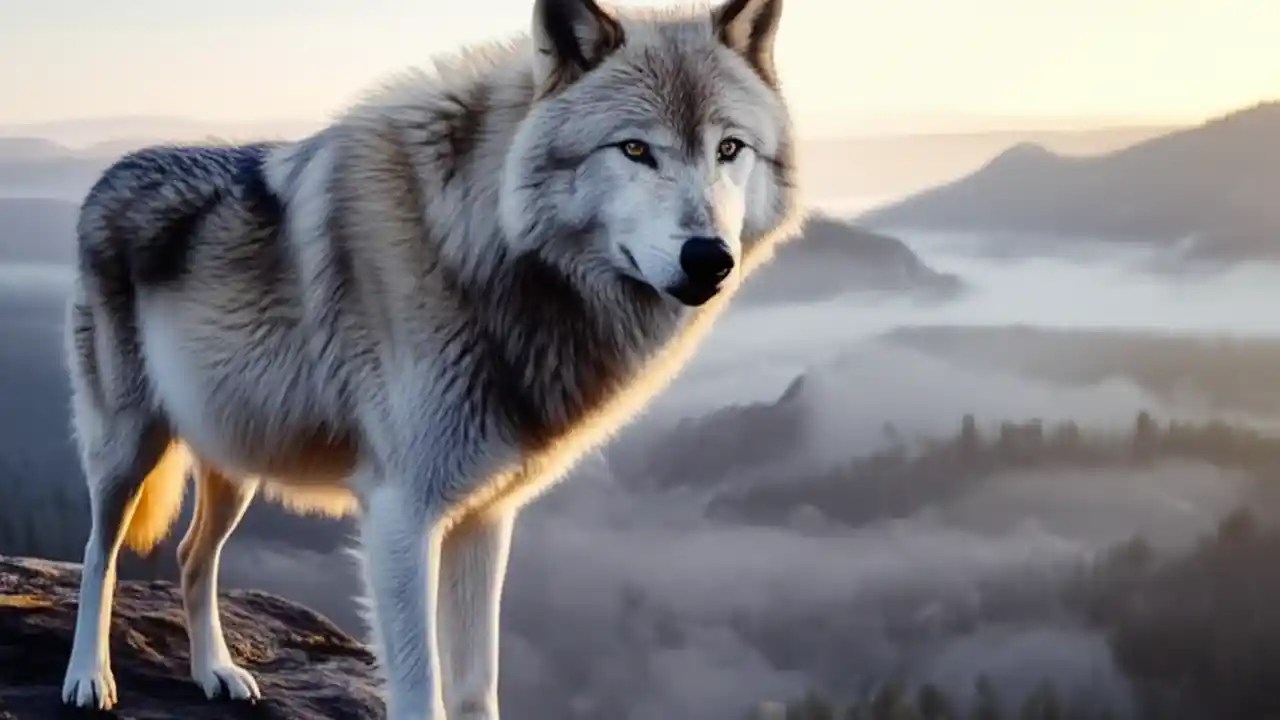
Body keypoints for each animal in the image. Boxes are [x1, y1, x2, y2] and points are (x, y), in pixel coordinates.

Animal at [59, 0, 801, 716]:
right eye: (636, 149)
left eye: (729, 149)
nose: (709, 258)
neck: (476, 246)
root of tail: (111, 172)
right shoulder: (401, 516)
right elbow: (422, 691)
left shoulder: (485, 516)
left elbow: (475, 689)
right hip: (127, 447)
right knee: (99, 553)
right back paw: (89, 679)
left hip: (237, 458)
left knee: (192, 555)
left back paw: (215, 671)